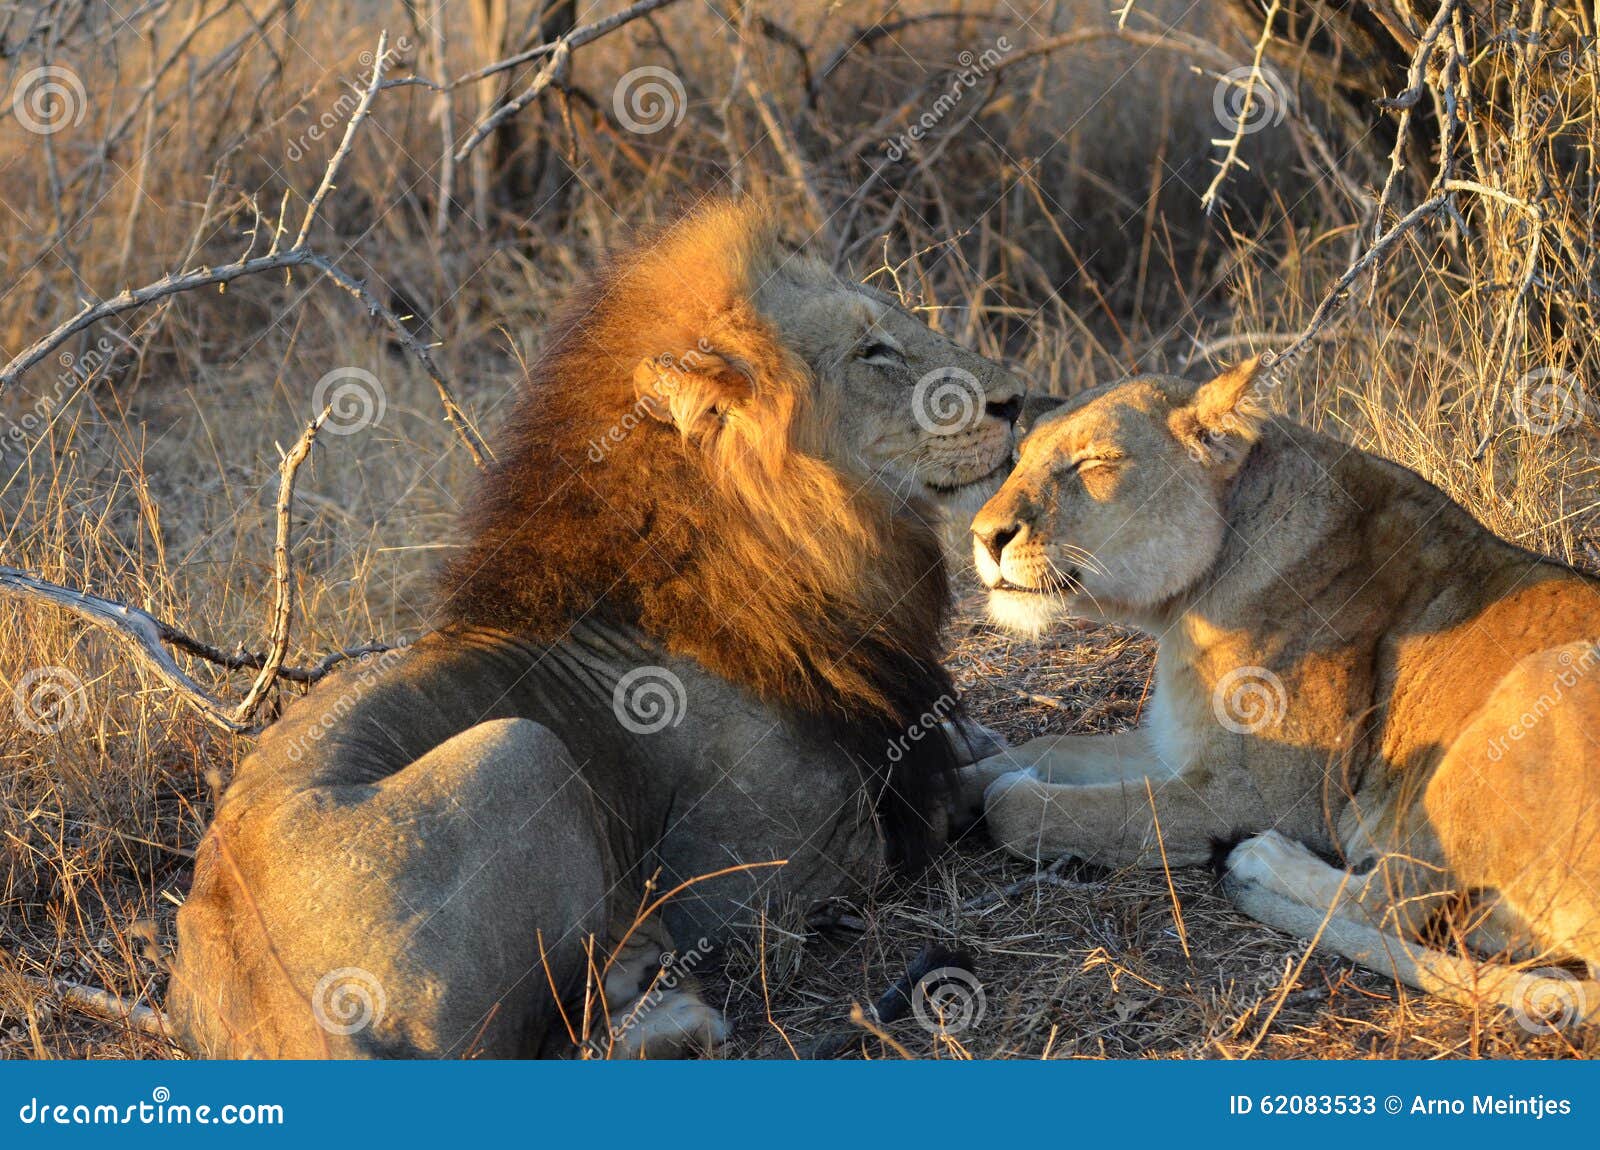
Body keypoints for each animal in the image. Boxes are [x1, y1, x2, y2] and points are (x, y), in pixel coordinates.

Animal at [169, 201, 1024, 1058]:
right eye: (874, 351)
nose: (1020, 401)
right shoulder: (773, 870)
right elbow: (964, 794)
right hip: (520, 750)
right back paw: (670, 995)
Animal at [963, 357, 1600, 1023]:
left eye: (1093, 463)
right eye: (1020, 458)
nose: (983, 536)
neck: (1186, 603)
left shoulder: (1262, 796)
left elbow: (1026, 807)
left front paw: (1000, 797)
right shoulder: (1178, 747)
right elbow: (1040, 750)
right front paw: (956, 780)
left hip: (1535, 688)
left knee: (1388, 909)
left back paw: (1260, 860)